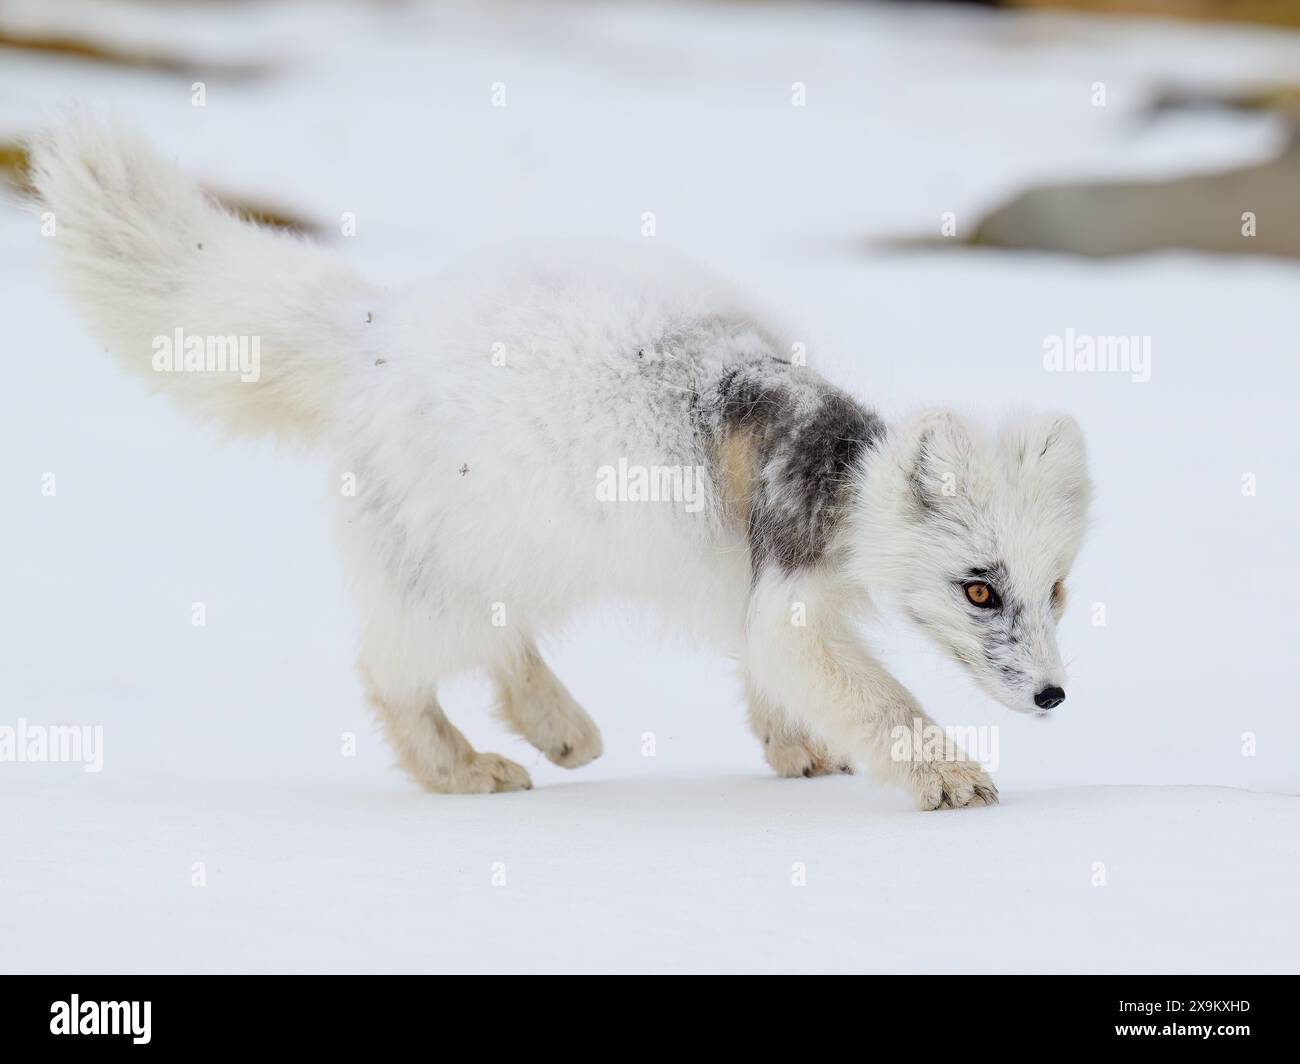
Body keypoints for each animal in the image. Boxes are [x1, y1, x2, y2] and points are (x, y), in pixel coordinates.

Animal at [30, 118, 1091, 810]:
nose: (1054, 696)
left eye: (1056, 589)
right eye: (978, 589)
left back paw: (561, 728)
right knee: (387, 672)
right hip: (438, 581)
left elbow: (764, 669)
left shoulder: (745, 585)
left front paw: (794, 746)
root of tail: (379, 325)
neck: (829, 467)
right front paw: (948, 773)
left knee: (503, 652)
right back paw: (463, 770)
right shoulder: (790, 590)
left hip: (513, 552)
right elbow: (869, 693)